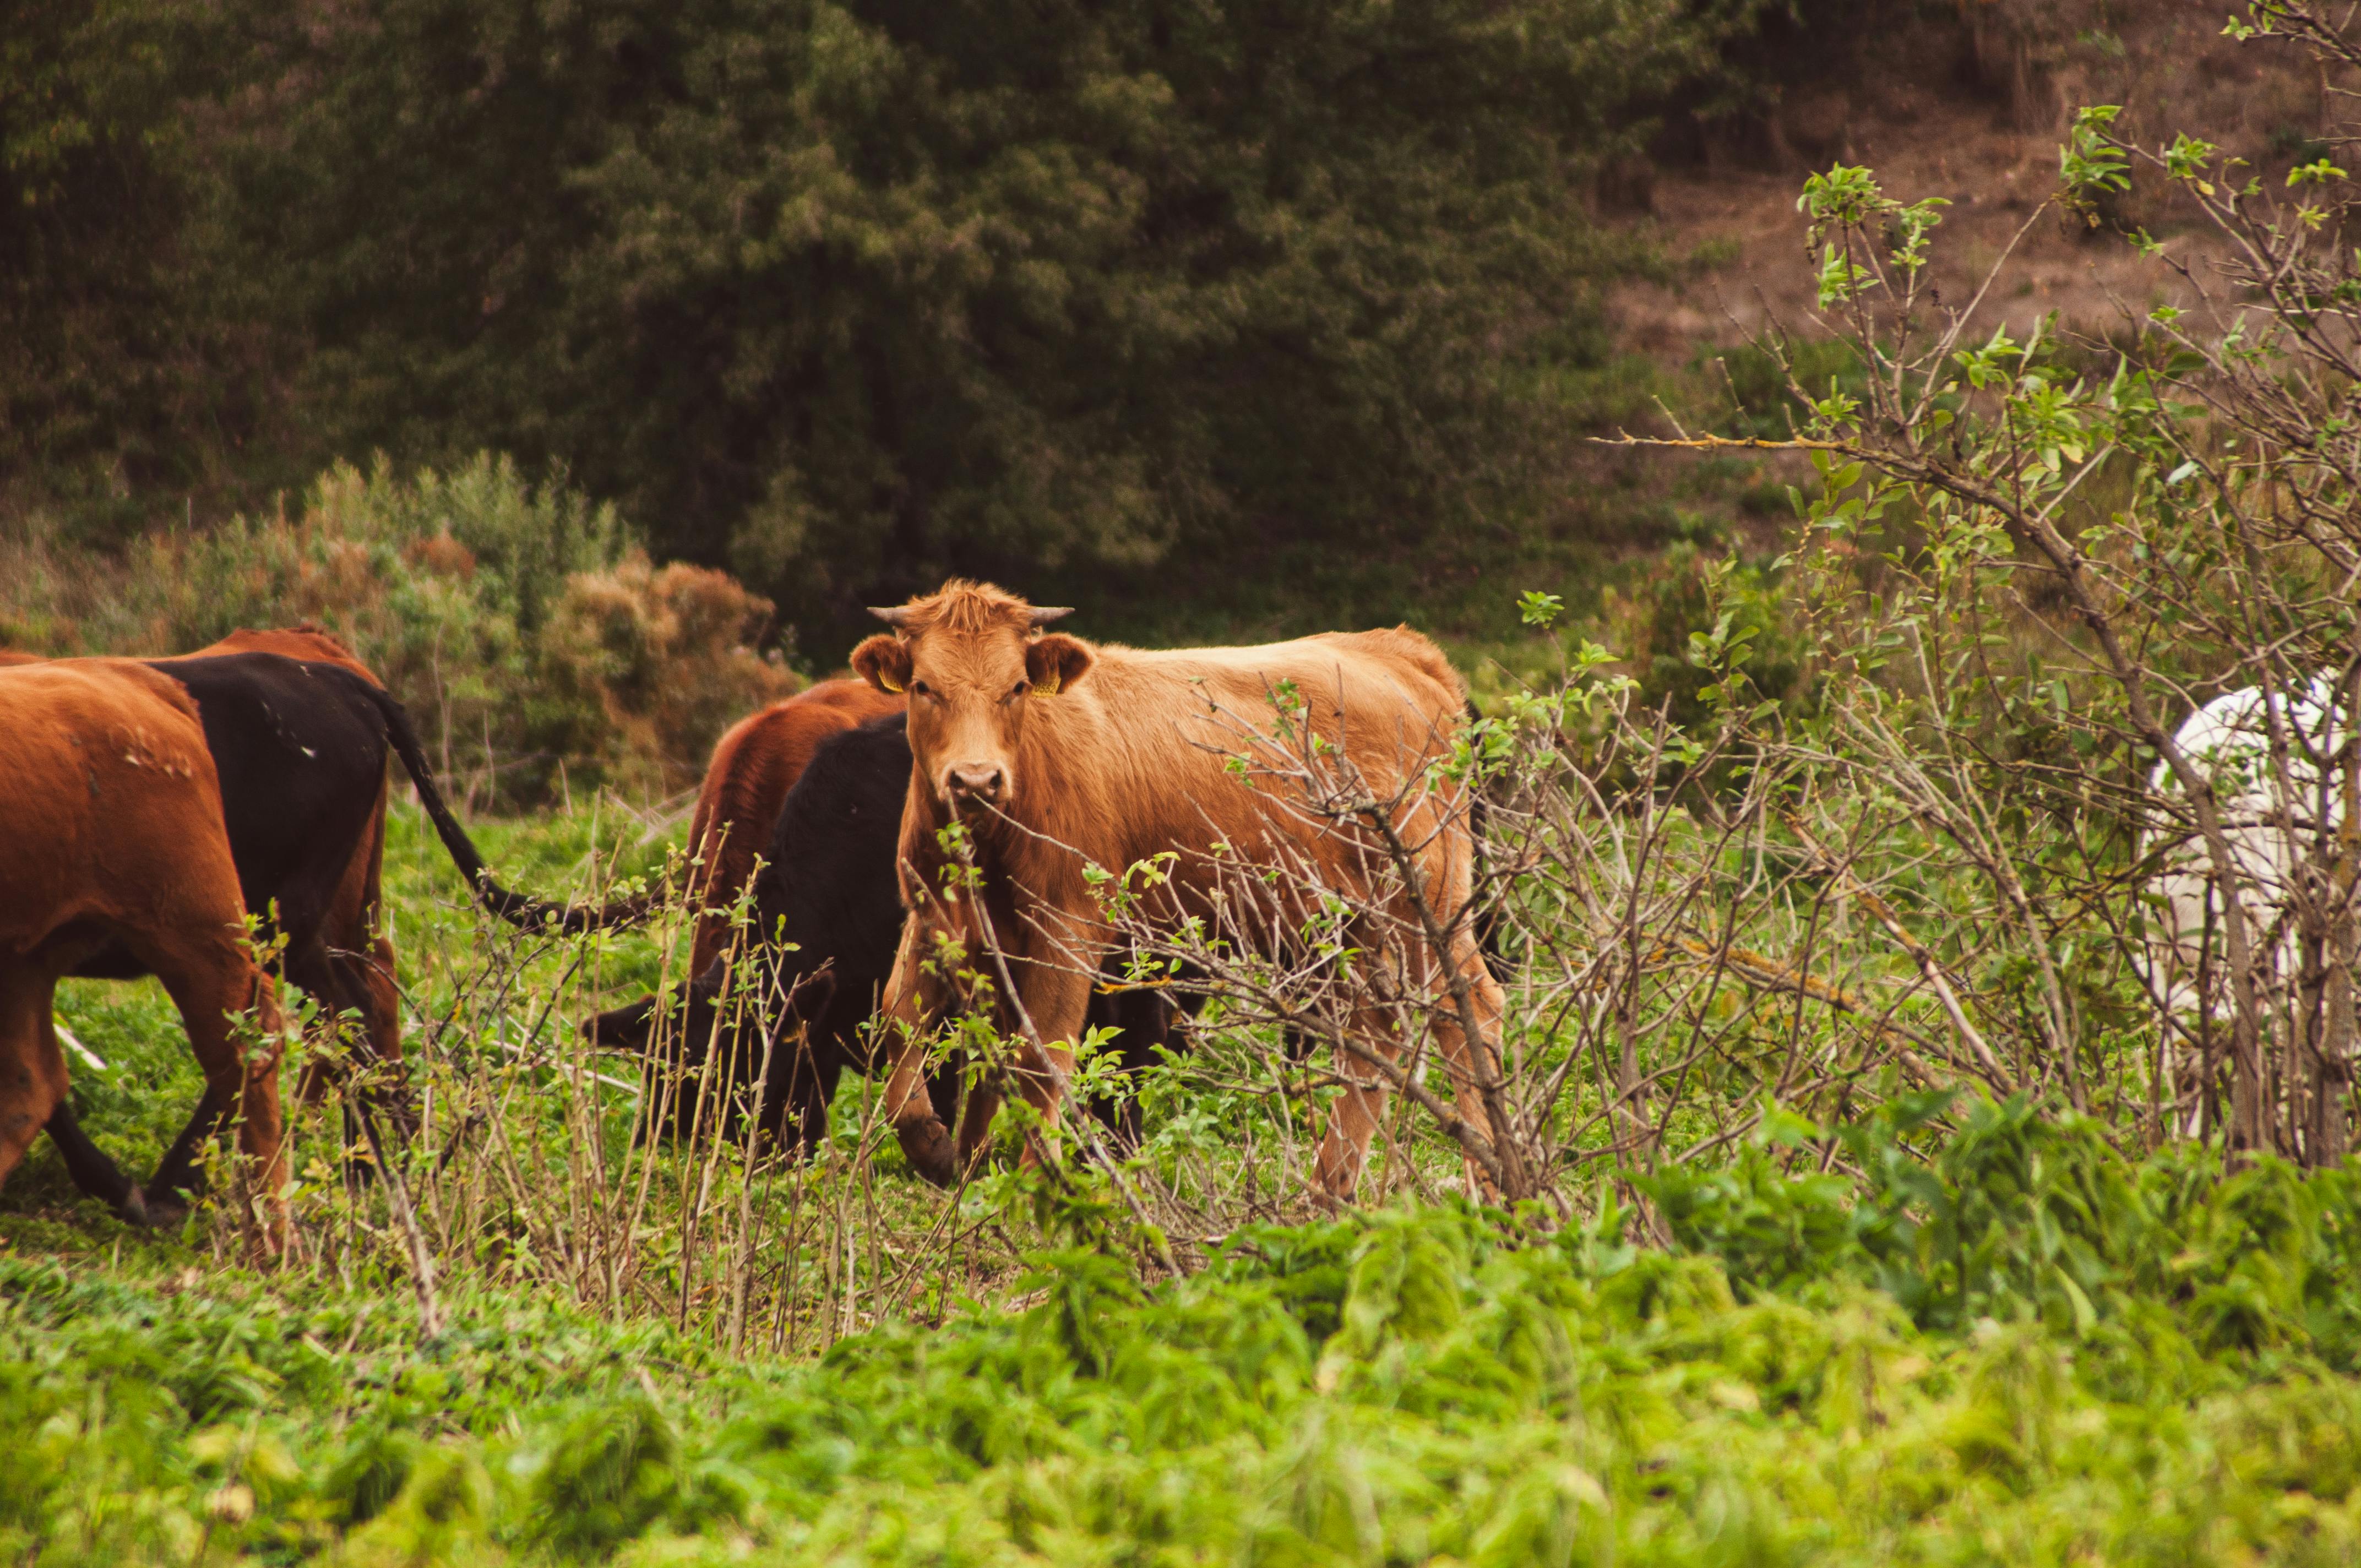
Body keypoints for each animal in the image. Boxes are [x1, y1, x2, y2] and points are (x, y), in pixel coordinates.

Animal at [0, 660, 289, 1240]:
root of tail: (141, 678)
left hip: (193, 929)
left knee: (244, 1046)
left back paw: (270, 1237)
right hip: (30, 950)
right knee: (31, 1081)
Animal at [848, 580, 1507, 1201]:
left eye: (1016, 687)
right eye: (924, 687)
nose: (976, 780)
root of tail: (1399, 651)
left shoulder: (1067, 930)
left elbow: (1041, 1055)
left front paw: (1038, 1183)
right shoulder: (936, 921)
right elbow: (899, 1024)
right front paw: (946, 1153)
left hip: (1424, 904)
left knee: (1467, 1010)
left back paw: (1492, 1184)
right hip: (1343, 923)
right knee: (1378, 1024)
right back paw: (1330, 1188)